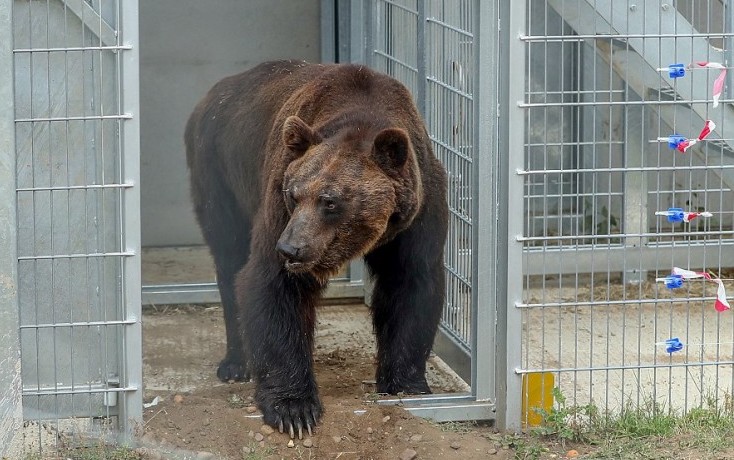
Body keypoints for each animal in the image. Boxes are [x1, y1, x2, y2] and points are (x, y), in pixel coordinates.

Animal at [185, 60, 448, 438]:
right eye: (294, 194)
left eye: (330, 201)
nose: (290, 248)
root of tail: (213, 93)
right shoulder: (278, 194)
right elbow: (273, 285)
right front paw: (294, 408)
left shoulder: (418, 210)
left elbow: (411, 285)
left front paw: (407, 384)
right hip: (219, 172)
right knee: (229, 258)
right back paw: (235, 363)